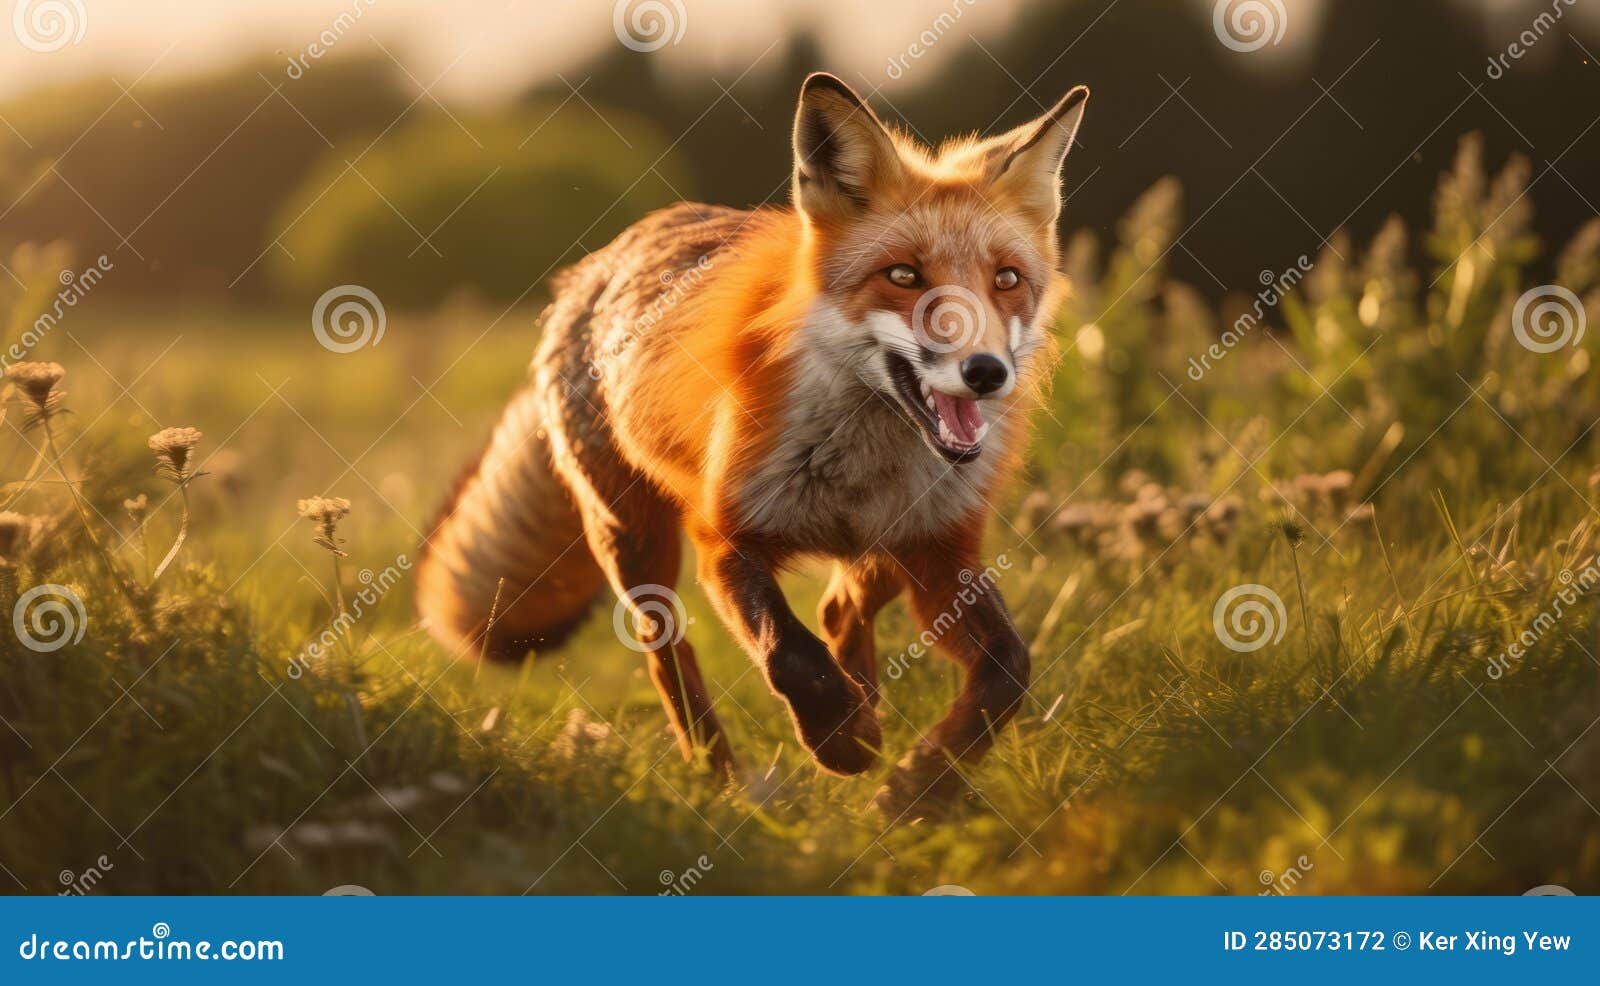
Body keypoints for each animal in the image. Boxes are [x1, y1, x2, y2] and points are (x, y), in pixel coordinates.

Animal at [416, 72, 1089, 812]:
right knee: (670, 661)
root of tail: (600, 260)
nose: (987, 372)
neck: (857, 469)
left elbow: (1008, 671)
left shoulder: (943, 549)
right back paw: (721, 778)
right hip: (634, 541)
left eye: (1007, 281)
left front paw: (919, 787)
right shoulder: (724, 540)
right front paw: (842, 742)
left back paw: (862, 707)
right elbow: (788, 653)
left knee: (837, 608)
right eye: (904, 276)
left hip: (891, 551)